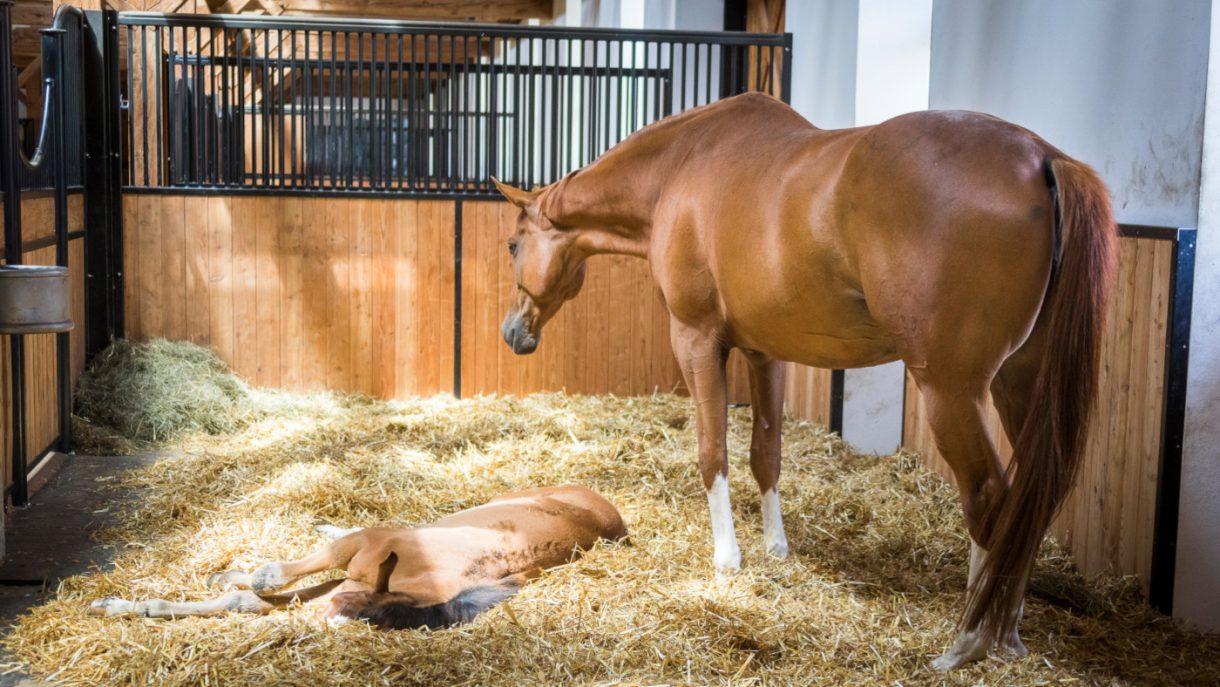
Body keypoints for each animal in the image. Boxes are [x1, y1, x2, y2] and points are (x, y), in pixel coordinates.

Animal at [492, 92, 1115, 670]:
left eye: (513, 244)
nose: (512, 332)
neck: (680, 168)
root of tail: (1043, 157)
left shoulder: (696, 340)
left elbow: (713, 453)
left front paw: (727, 561)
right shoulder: (765, 353)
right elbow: (765, 455)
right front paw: (776, 547)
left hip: (953, 390)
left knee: (989, 497)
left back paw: (968, 642)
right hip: (1018, 383)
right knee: (1033, 497)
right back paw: (1007, 632)